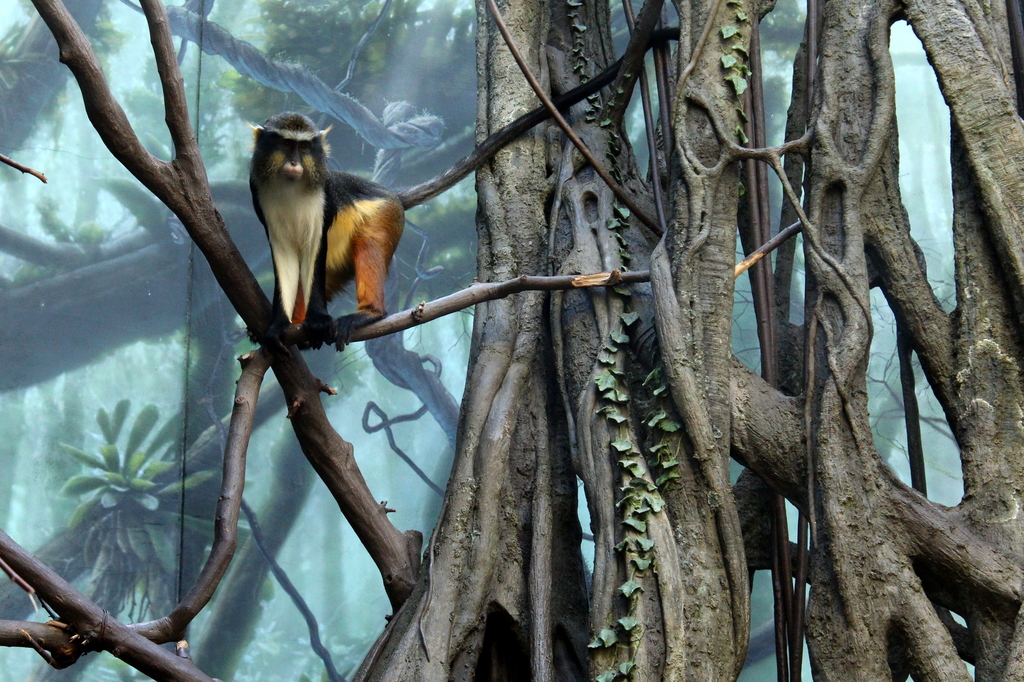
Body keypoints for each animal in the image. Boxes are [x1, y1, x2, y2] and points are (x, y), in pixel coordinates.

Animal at [249, 112, 404, 353]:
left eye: (304, 147)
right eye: (286, 144)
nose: (294, 163)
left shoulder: (325, 195)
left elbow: (316, 246)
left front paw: (318, 322)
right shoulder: (257, 192)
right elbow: (284, 254)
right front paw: (278, 325)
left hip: (386, 215)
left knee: (369, 245)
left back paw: (370, 312)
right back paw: (298, 328)